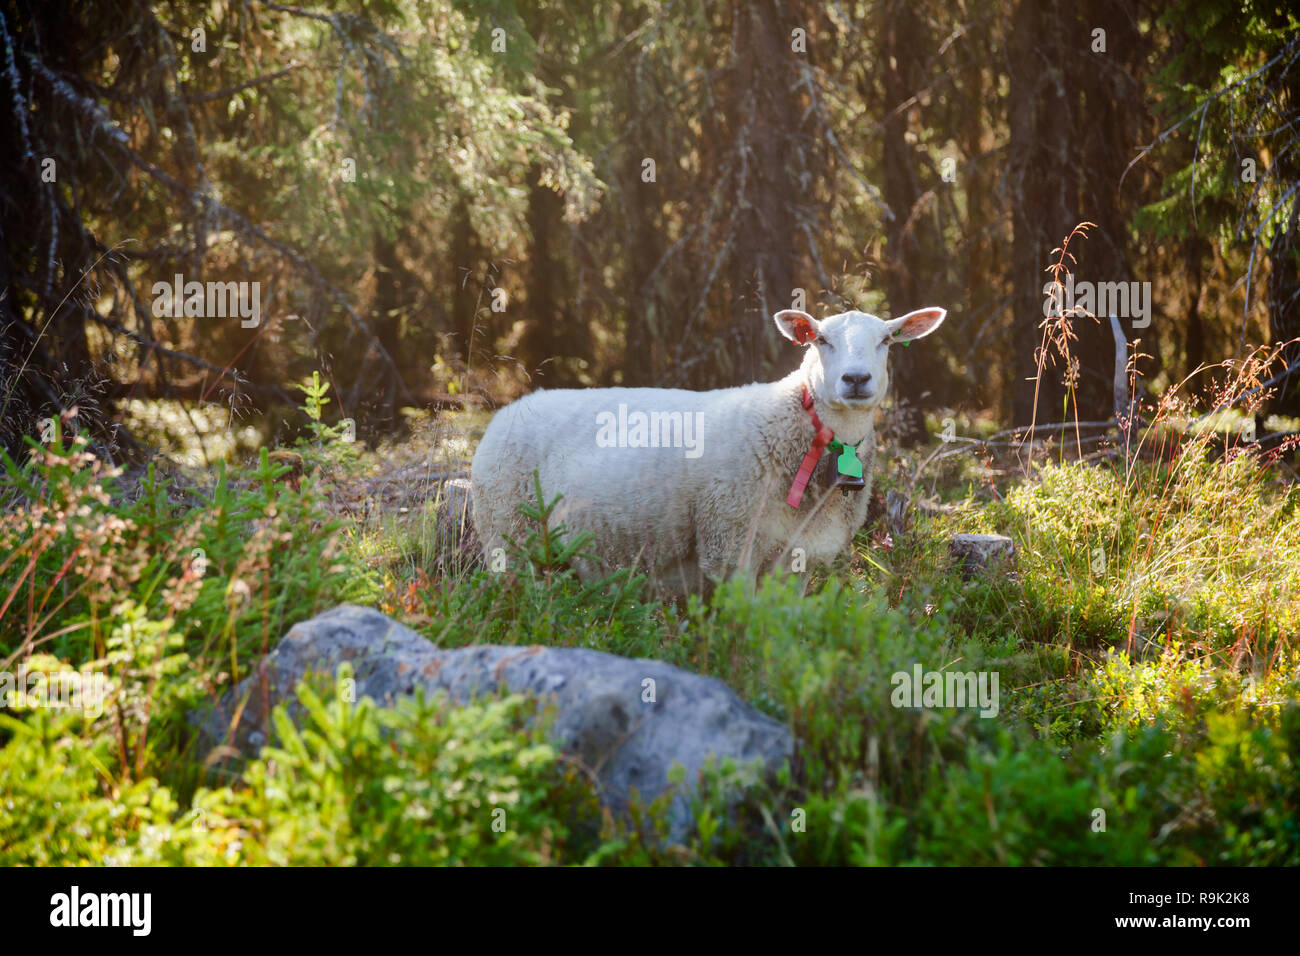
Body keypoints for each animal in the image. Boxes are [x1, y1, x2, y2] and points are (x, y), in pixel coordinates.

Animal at [470, 306, 947, 595]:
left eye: (886, 340)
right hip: (507, 532)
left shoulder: (800, 558)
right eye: (821, 341)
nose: (856, 379)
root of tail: (507, 410)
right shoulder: (730, 543)